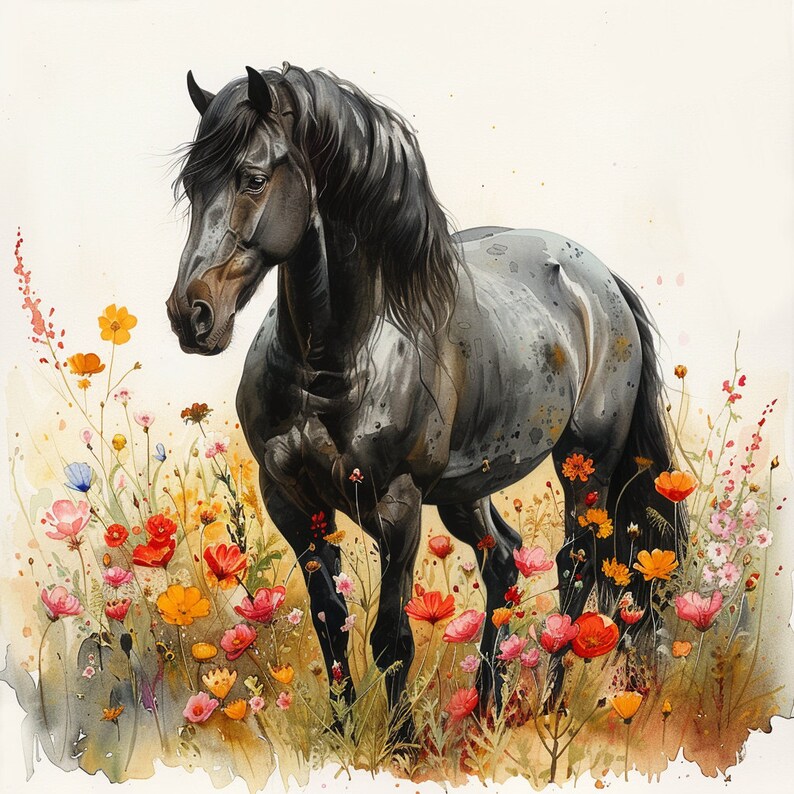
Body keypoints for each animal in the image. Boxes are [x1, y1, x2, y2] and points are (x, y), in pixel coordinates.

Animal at [166, 64, 683, 738]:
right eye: (192, 185)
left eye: (253, 178)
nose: (191, 315)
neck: (334, 361)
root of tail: (600, 280)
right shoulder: (292, 504)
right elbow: (330, 621)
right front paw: (341, 734)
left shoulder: (398, 508)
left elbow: (391, 635)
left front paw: (401, 741)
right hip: (467, 492)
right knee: (504, 566)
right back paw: (487, 710)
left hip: (586, 468)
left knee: (576, 568)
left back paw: (545, 708)